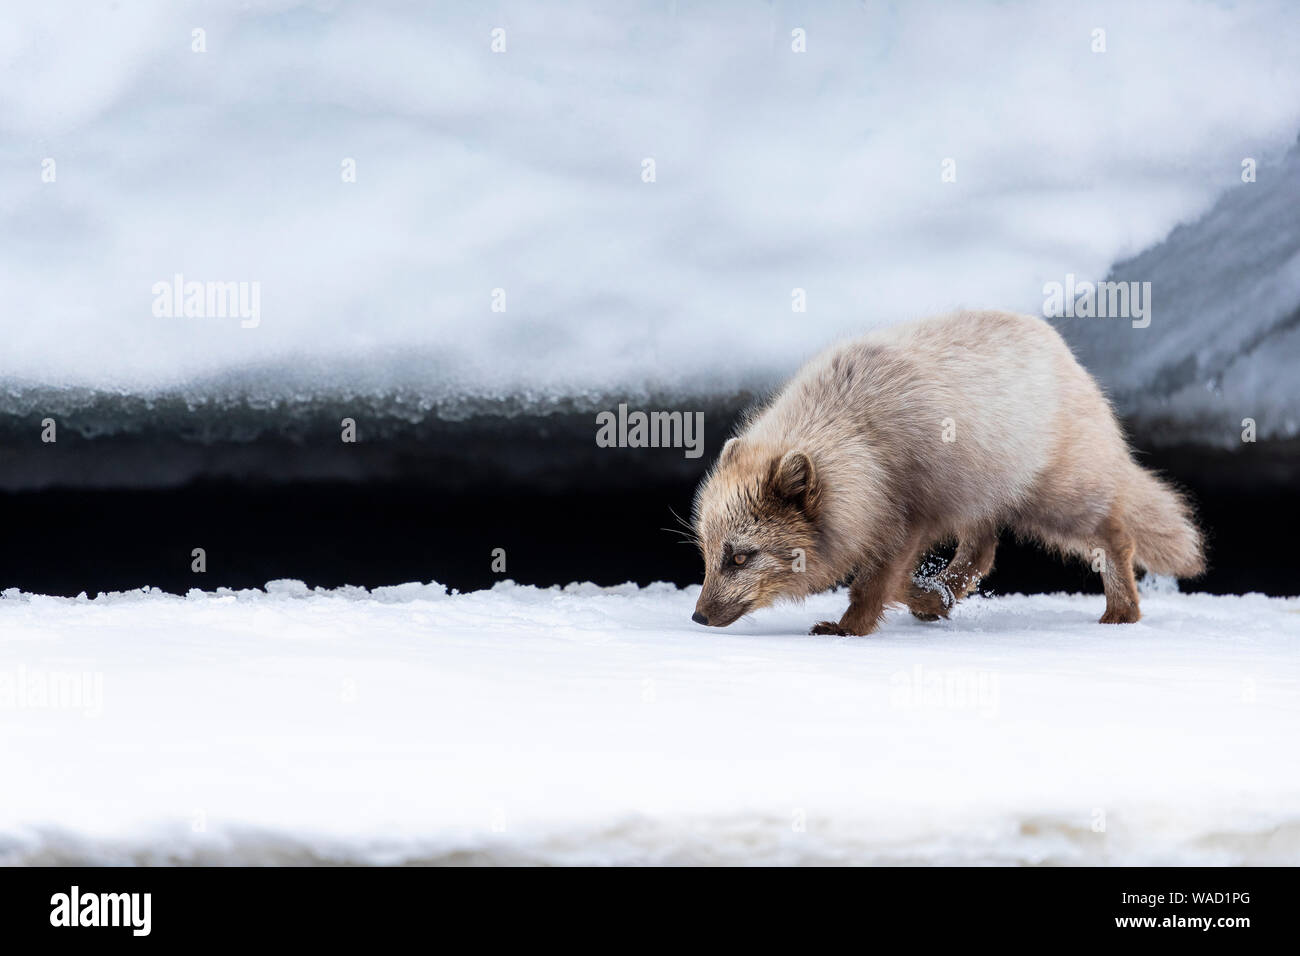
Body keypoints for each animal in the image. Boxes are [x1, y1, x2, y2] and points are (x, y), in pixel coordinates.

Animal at [690, 310, 1204, 635]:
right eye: (708, 553)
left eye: (742, 557)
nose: (698, 617)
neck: (862, 440)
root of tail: (1066, 355)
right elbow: (894, 579)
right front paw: (930, 598)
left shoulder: (908, 517)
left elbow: (874, 584)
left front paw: (848, 630)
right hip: (982, 499)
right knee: (983, 552)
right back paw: (941, 596)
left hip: (1057, 501)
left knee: (1114, 537)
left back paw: (1122, 613)